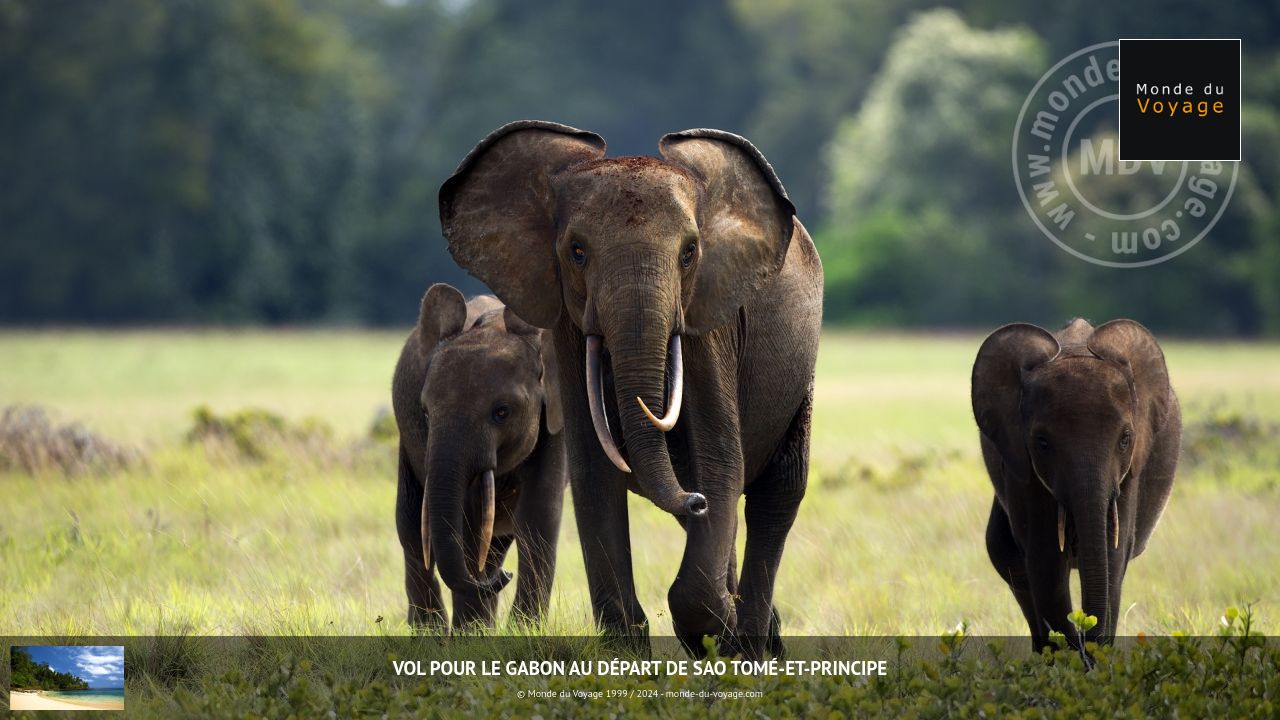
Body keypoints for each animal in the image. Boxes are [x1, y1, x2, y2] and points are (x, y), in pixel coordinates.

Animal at [389, 280, 565, 627]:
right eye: (426, 413)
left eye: (502, 412)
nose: (505, 577)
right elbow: (466, 520)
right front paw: (472, 631)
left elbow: (538, 514)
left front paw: (523, 629)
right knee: (411, 522)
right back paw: (430, 628)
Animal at [437, 119, 819, 655]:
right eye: (577, 252)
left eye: (689, 253)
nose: (695, 500)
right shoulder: (566, 324)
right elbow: (594, 469)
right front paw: (631, 651)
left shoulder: (709, 320)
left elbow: (719, 458)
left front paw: (714, 630)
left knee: (777, 493)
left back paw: (750, 646)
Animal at [972, 317, 1182, 645]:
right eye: (1042, 443)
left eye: (1125, 439)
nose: (1086, 636)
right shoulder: (1023, 468)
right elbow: (1045, 559)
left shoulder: (1130, 473)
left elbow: (1112, 555)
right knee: (1008, 559)